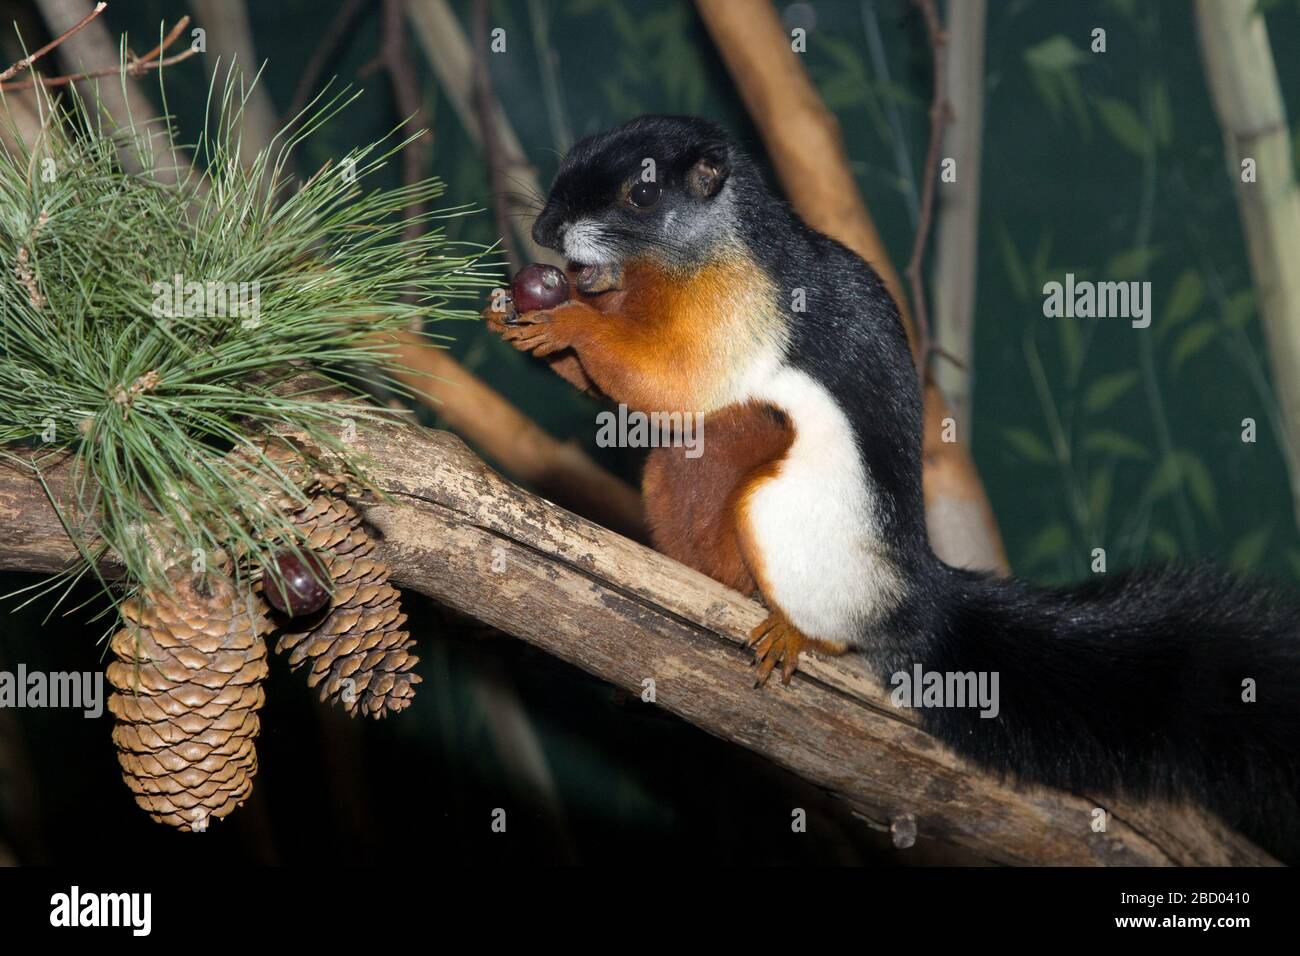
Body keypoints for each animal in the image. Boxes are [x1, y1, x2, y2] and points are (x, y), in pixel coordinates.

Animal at [485, 115, 1300, 862]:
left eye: (643, 191)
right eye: (570, 156)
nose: (544, 228)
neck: (684, 260)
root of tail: (918, 600)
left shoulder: (737, 309)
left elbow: (675, 381)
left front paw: (567, 320)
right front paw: (523, 314)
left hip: (785, 521)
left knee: (830, 619)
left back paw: (793, 632)